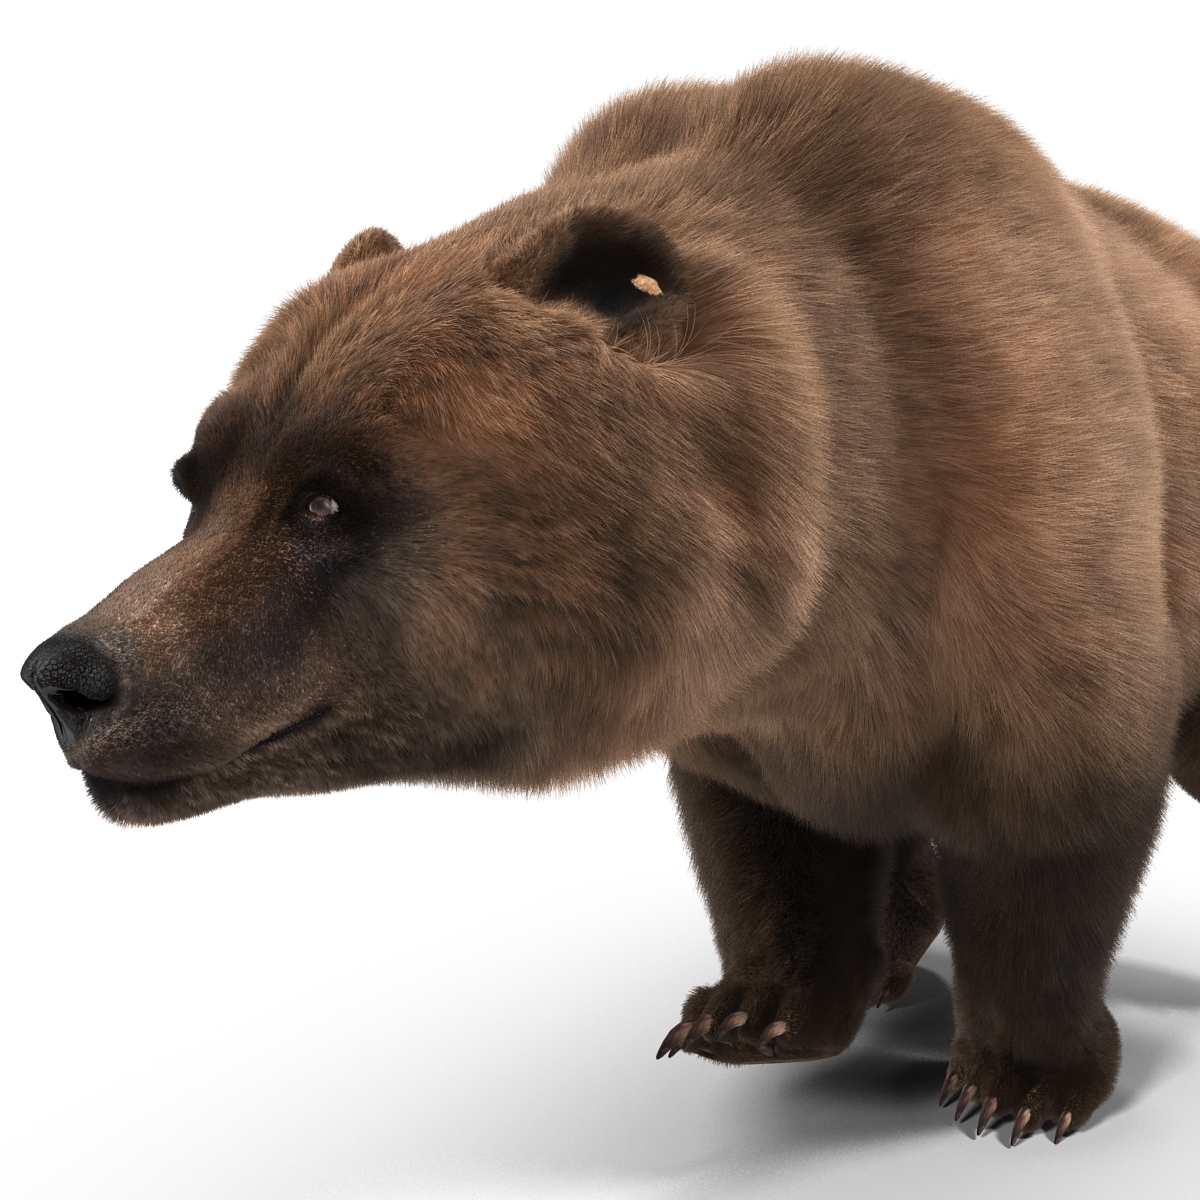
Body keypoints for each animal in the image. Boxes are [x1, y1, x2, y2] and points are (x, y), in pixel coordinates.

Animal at [21, 54, 1200, 1145]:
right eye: (195, 481)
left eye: (323, 500)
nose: (69, 673)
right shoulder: (757, 707)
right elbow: (769, 841)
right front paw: (748, 1012)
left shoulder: (1018, 522)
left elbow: (1048, 816)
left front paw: (1016, 1086)